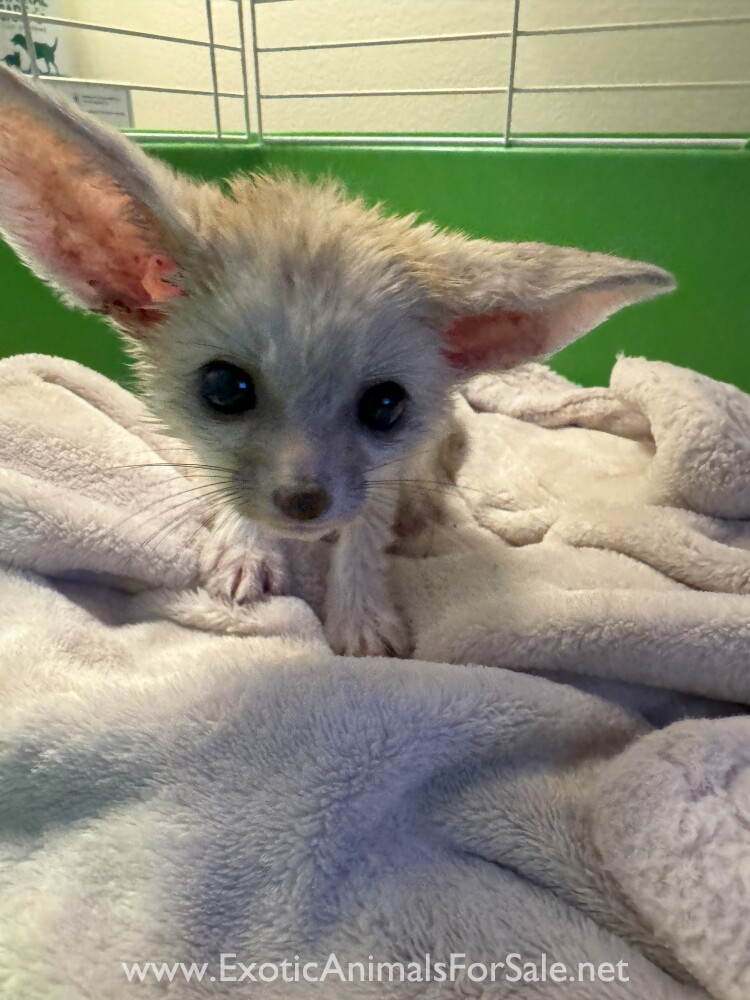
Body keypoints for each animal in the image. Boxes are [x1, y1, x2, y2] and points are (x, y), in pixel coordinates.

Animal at [0, 66, 674, 656]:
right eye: (224, 388)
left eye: (385, 405)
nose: (304, 505)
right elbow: (230, 492)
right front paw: (244, 549)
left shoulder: (386, 468)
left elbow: (365, 530)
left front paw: (362, 617)